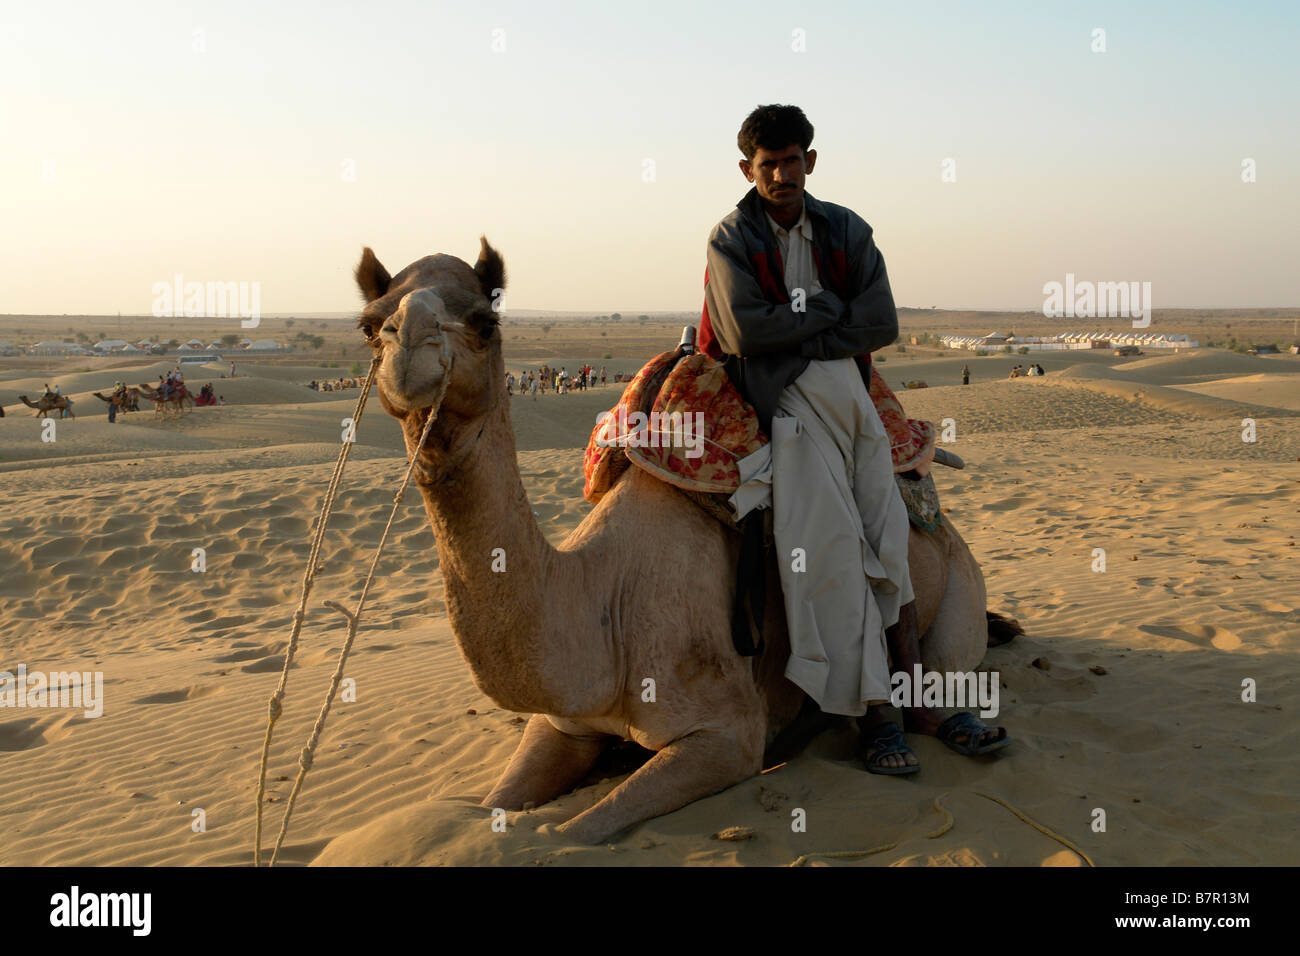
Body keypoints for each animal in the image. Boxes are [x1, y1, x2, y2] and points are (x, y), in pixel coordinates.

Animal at [355, 238, 1016, 845]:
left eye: (484, 321)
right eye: (368, 324)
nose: (408, 344)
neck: (606, 609)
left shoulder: (727, 736)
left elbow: (573, 833)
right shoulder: (561, 724)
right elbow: (492, 808)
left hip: (954, 602)